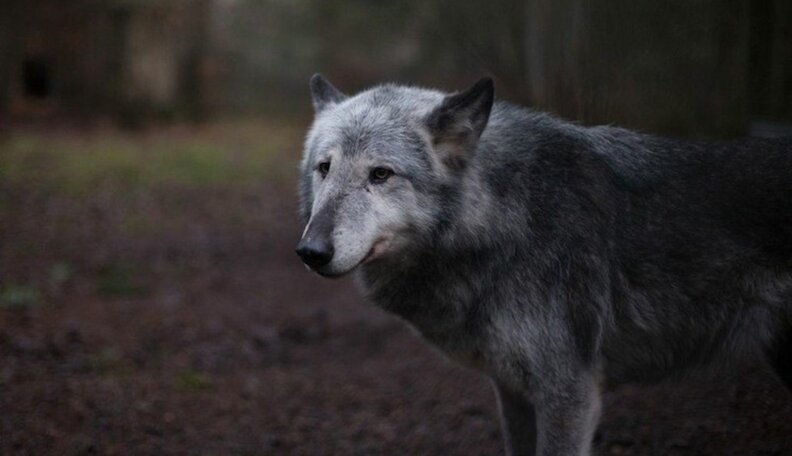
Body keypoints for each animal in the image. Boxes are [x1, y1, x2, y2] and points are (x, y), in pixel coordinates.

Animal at [296, 74, 792, 456]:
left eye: (380, 174)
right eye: (324, 168)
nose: (311, 251)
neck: (505, 219)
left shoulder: (569, 392)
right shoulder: (513, 390)